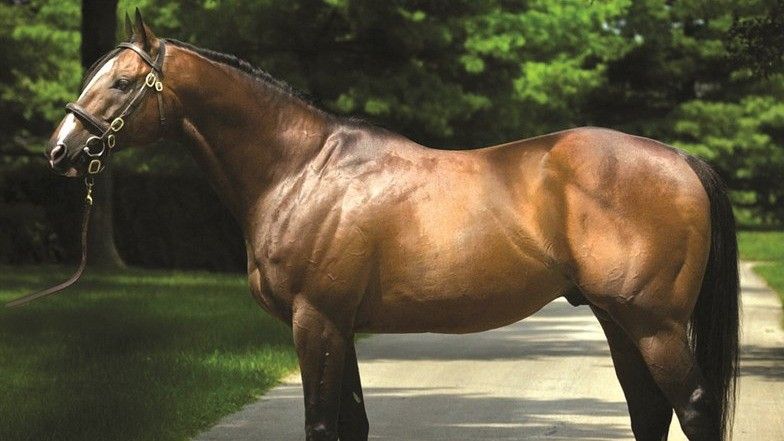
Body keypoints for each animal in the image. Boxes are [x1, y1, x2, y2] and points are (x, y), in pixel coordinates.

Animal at [44, 11, 739, 441]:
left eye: (123, 81)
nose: (61, 150)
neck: (301, 170)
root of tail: (681, 159)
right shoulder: (341, 325)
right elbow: (353, 423)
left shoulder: (316, 320)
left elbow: (321, 424)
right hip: (620, 319)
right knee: (649, 412)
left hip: (653, 323)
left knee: (692, 409)